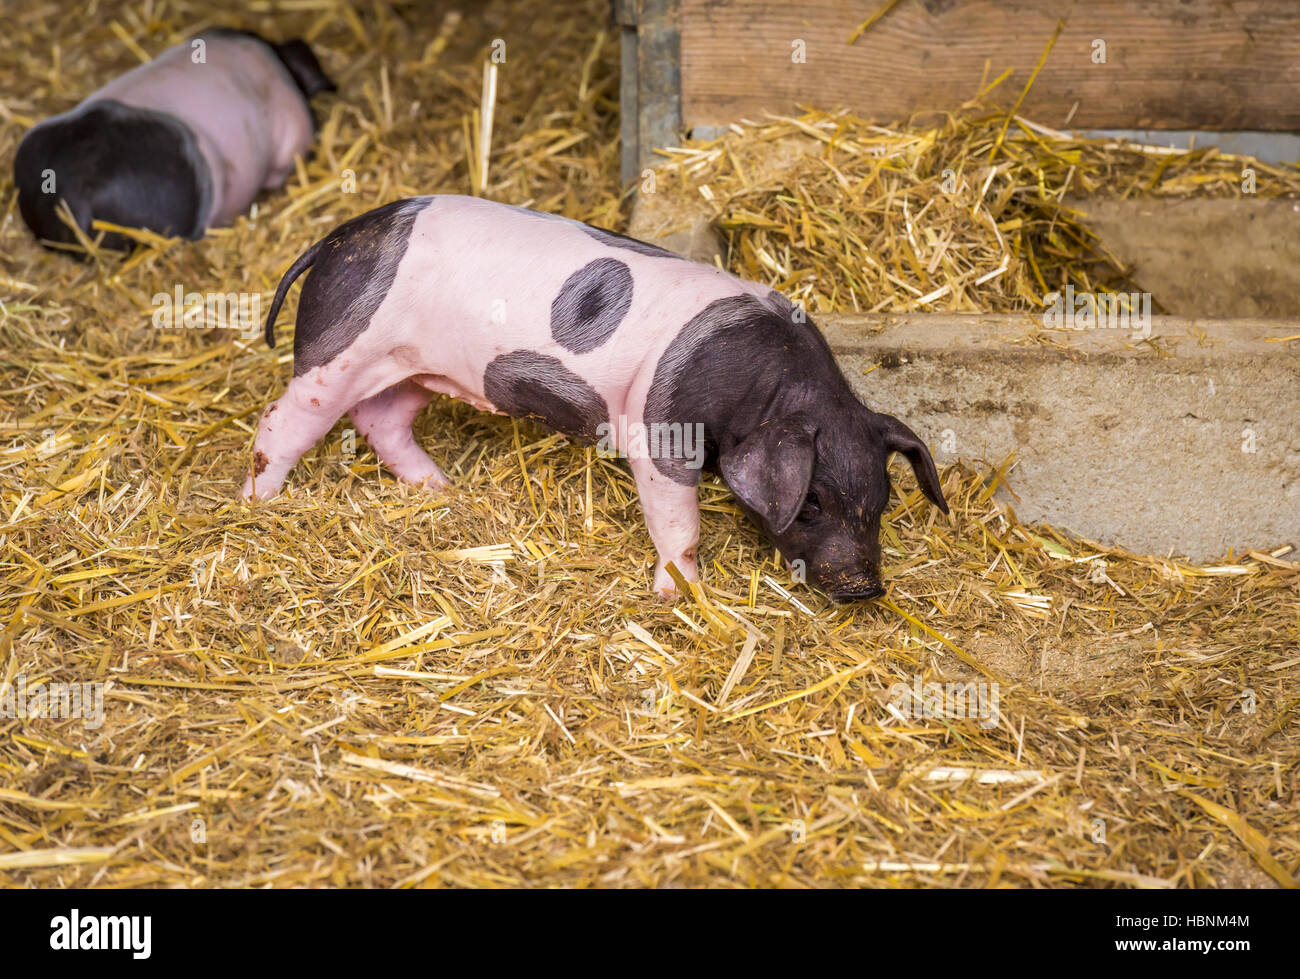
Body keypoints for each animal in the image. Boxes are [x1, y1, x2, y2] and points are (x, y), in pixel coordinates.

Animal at [242, 196, 949, 601]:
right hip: (339, 350)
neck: (770, 393)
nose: (863, 589)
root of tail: (340, 235)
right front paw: (678, 598)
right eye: (811, 504)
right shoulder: (660, 431)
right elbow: (678, 524)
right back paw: (257, 503)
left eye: (884, 500)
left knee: (381, 419)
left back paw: (439, 488)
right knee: (284, 419)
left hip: (414, 370)